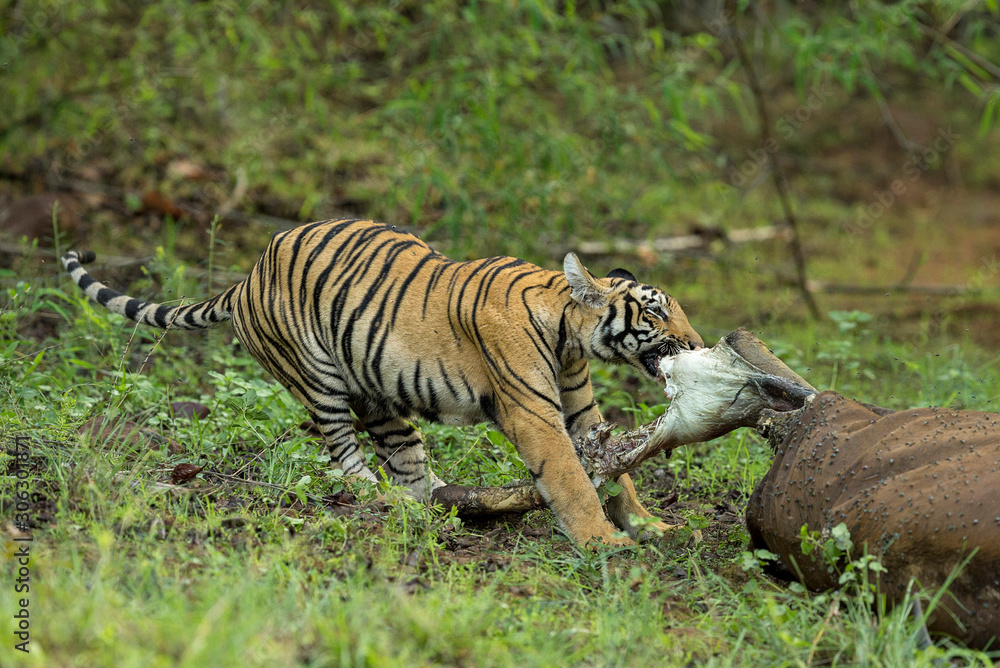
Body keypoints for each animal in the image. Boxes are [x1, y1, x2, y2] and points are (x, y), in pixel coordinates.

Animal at [61, 218, 703, 545]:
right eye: (655, 314)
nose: (698, 343)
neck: (569, 333)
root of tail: (246, 276)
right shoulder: (535, 414)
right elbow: (571, 479)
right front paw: (605, 543)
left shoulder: (581, 410)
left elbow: (617, 469)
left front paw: (652, 523)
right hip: (318, 378)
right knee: (348, 460)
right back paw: (383, 497)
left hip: (376, 389)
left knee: (410, 467)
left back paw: (444, 503)